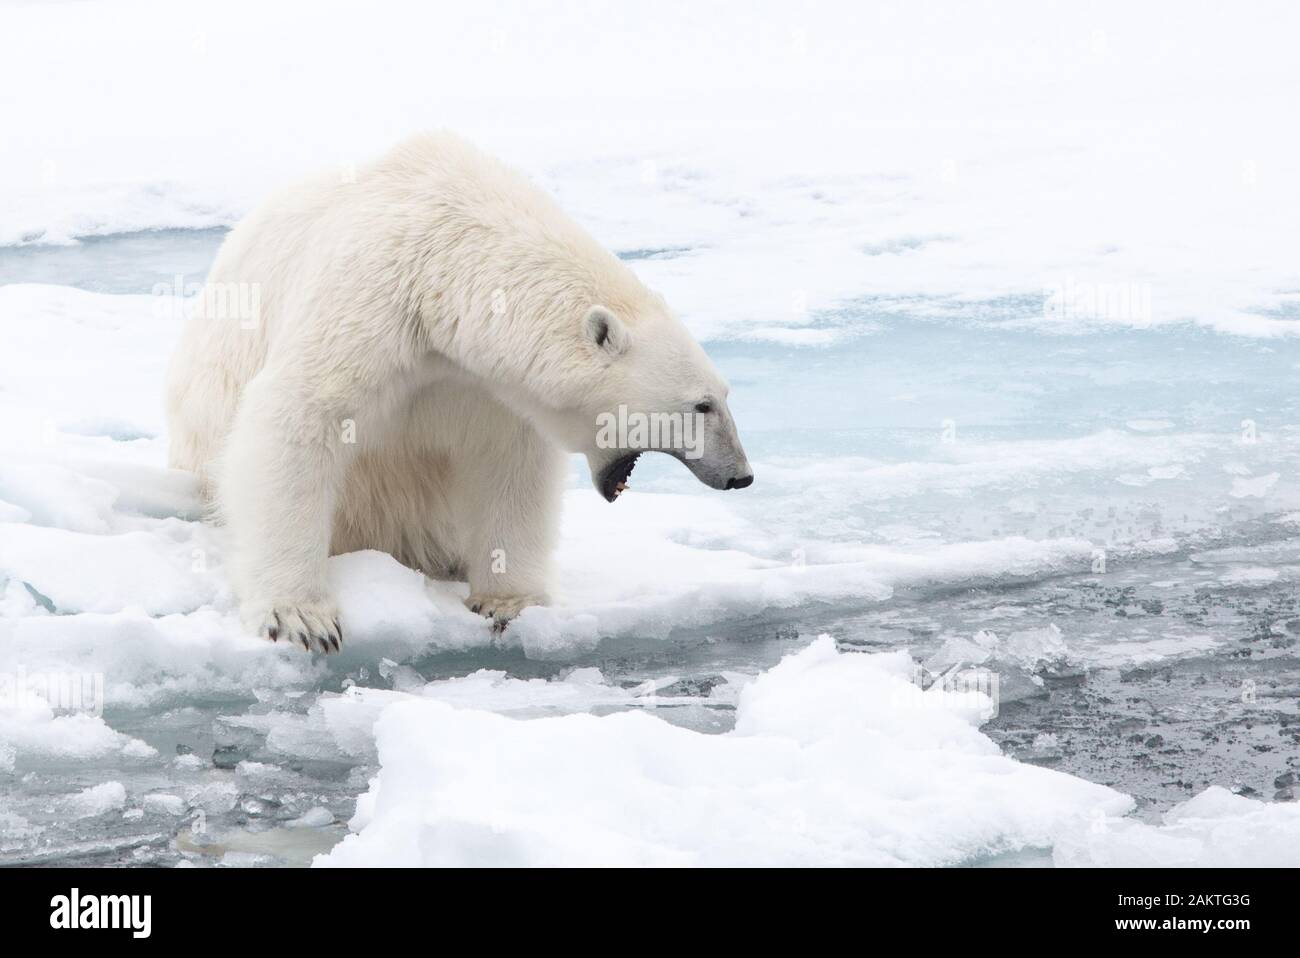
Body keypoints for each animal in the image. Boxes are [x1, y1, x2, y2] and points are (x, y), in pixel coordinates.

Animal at [165, 132, 753, 653]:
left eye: (725, 395)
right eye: (701, 404)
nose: (741, 475)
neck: (442, 261)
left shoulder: (481, 383)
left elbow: (508, 465)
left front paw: (508, 602)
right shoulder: (369, 301)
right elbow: (298, 417)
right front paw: (300, 617)